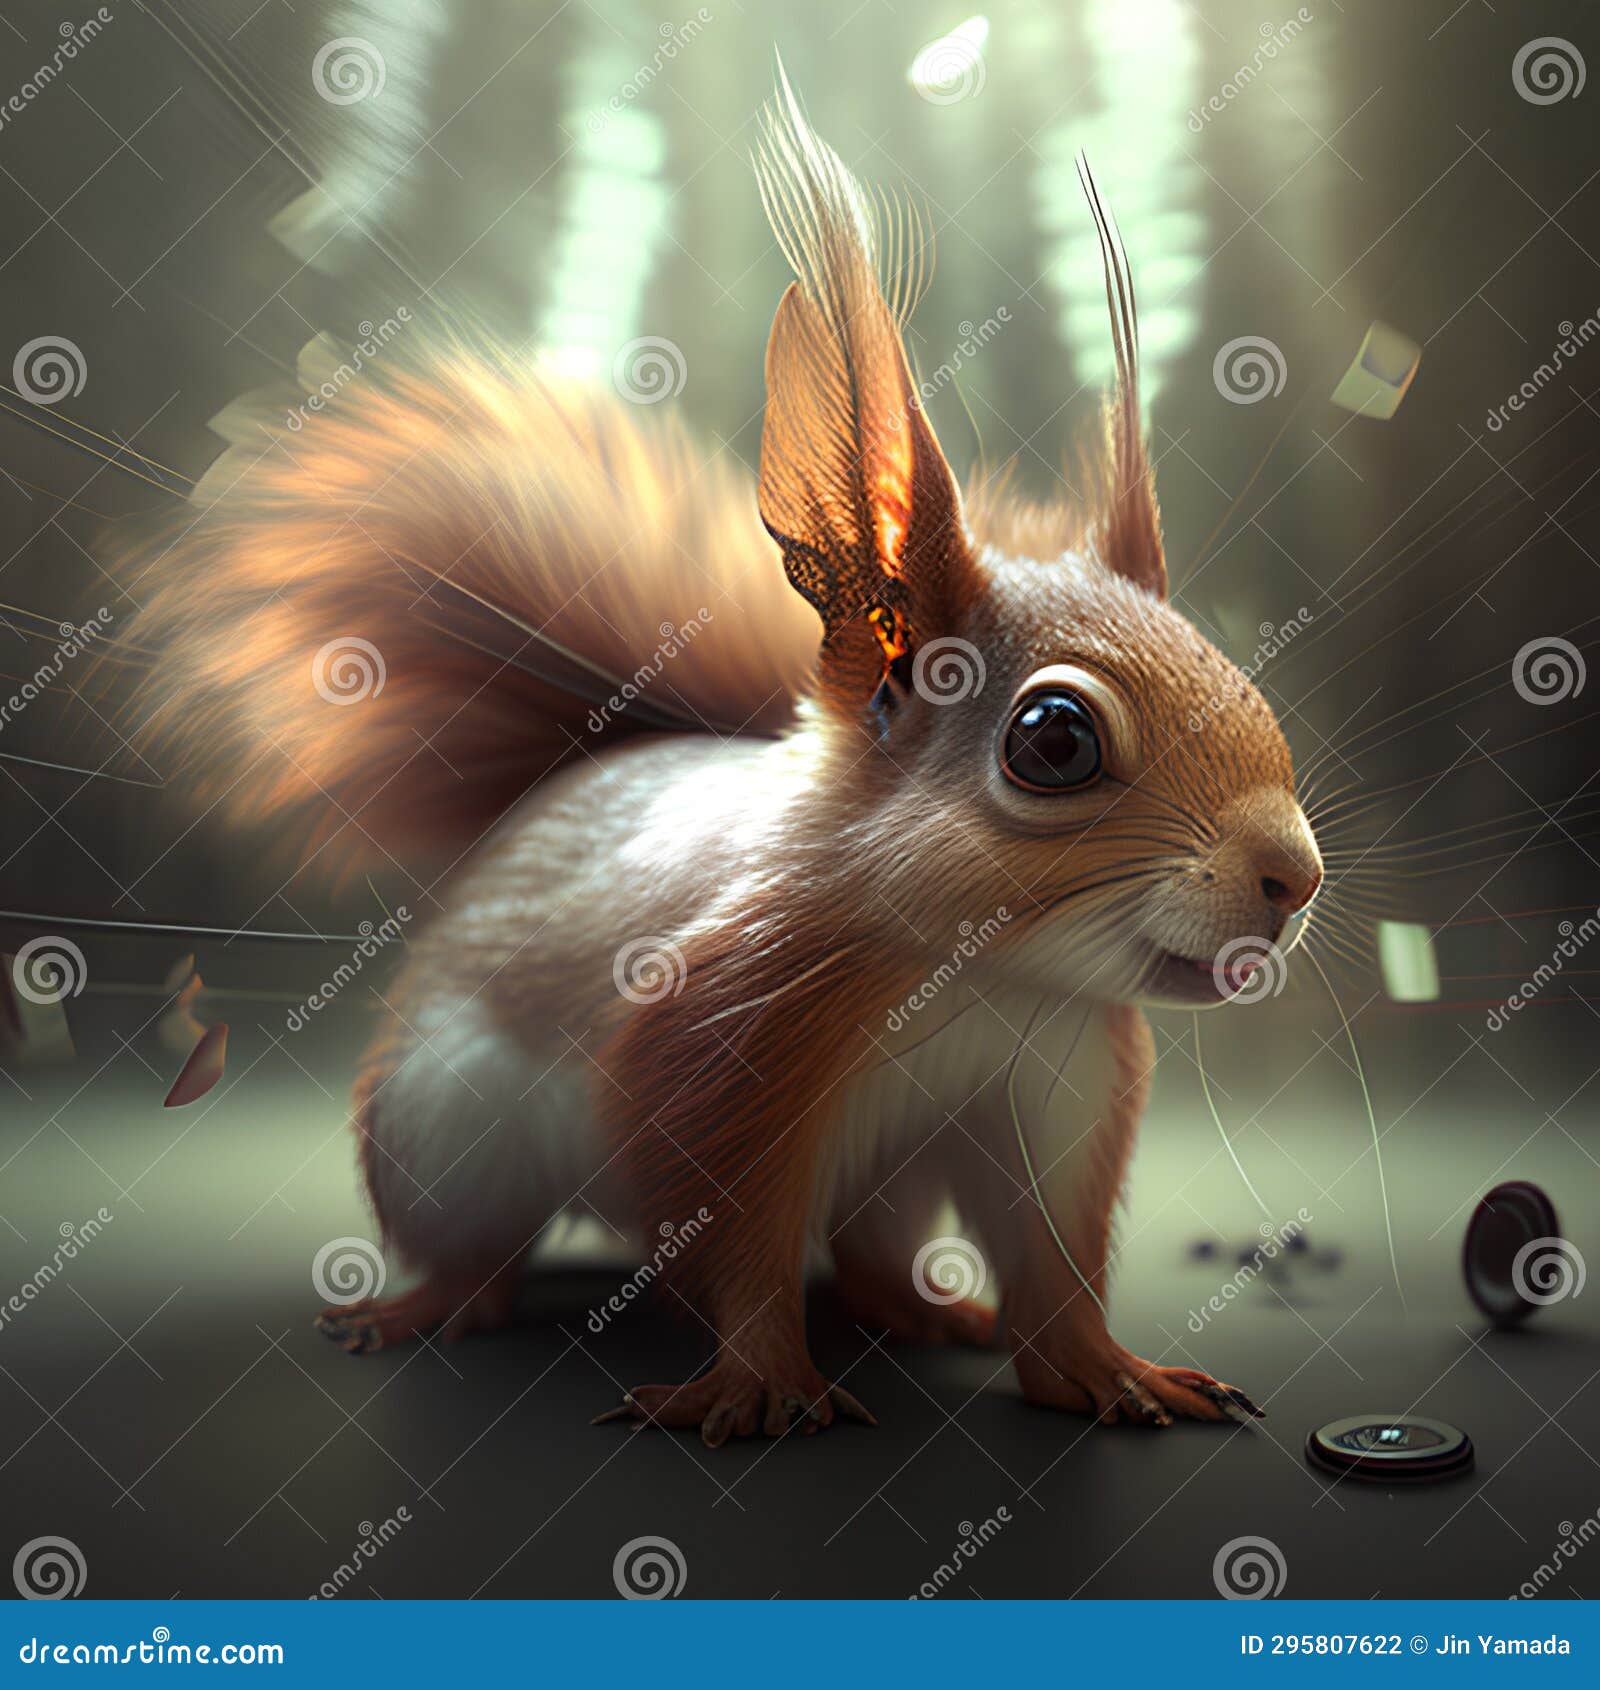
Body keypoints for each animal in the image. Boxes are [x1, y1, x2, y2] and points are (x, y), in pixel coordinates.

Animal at [121, 74, 1321, 1446]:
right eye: (1054, 739)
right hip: (447, 1131)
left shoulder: (1057, 1084)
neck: (986, 982)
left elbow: (1054, 1259)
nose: (1293, 878)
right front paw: (757, 1383)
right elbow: (730, 1234)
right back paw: (428, 1303)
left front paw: (1110, 1371)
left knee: (872, 1252)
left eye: (1243, 675)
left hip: (885, 1183)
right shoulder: (723, 1035)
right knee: (479, 1248)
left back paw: (922, 1311)